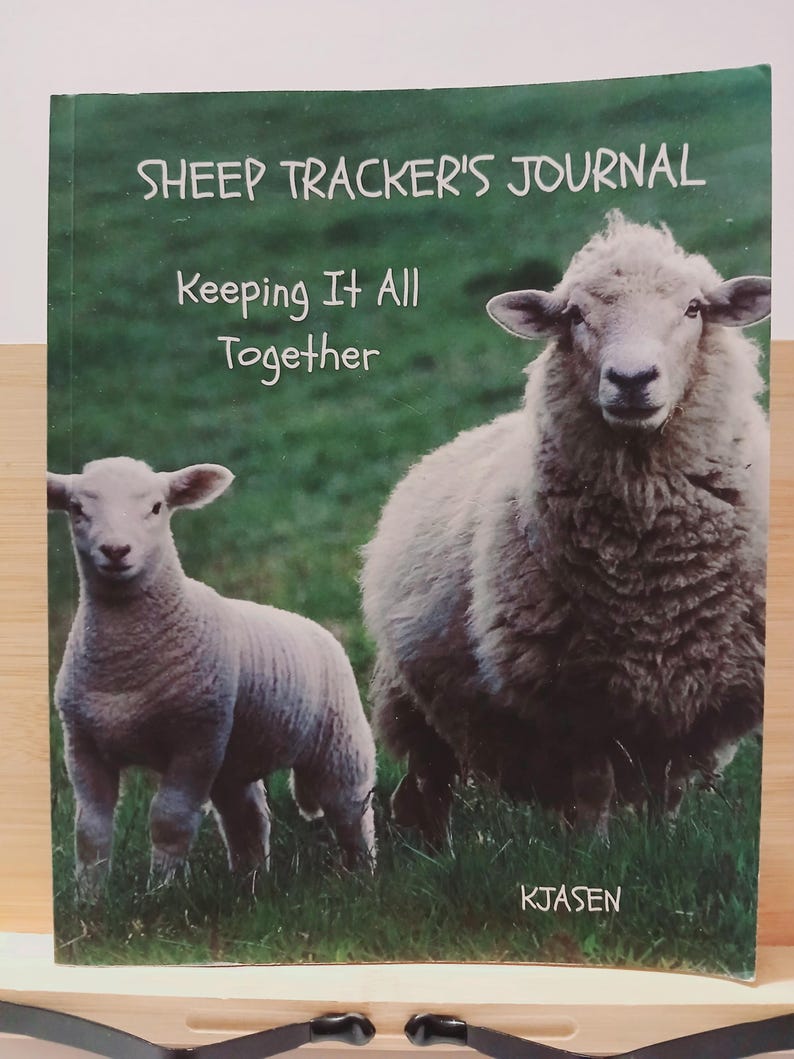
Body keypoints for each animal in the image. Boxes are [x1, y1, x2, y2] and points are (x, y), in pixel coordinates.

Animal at [48, 457, 376, 897]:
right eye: (77, 509)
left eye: (156, 507)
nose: (116, 551)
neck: (125, 665)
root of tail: (316, 628)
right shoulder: (81, 744)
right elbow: (90, 830)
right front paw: (91, 901)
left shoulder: (197, 739)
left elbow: (169, 819)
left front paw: (161, 893)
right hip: (234, 759)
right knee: (247, 818)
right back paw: (249, 884)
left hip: (340, 742)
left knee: (351, 808)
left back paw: (363, 875)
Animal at [362, 211, 771, 846]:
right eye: (575, 315)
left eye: (693, 309)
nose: (632, 379)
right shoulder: (571, 698)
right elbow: (594, 788)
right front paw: (595, 852)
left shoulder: (691, 695)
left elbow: (668, 793)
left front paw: (660, 844)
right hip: (411, 703)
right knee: (427, 788)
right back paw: (437, 850)